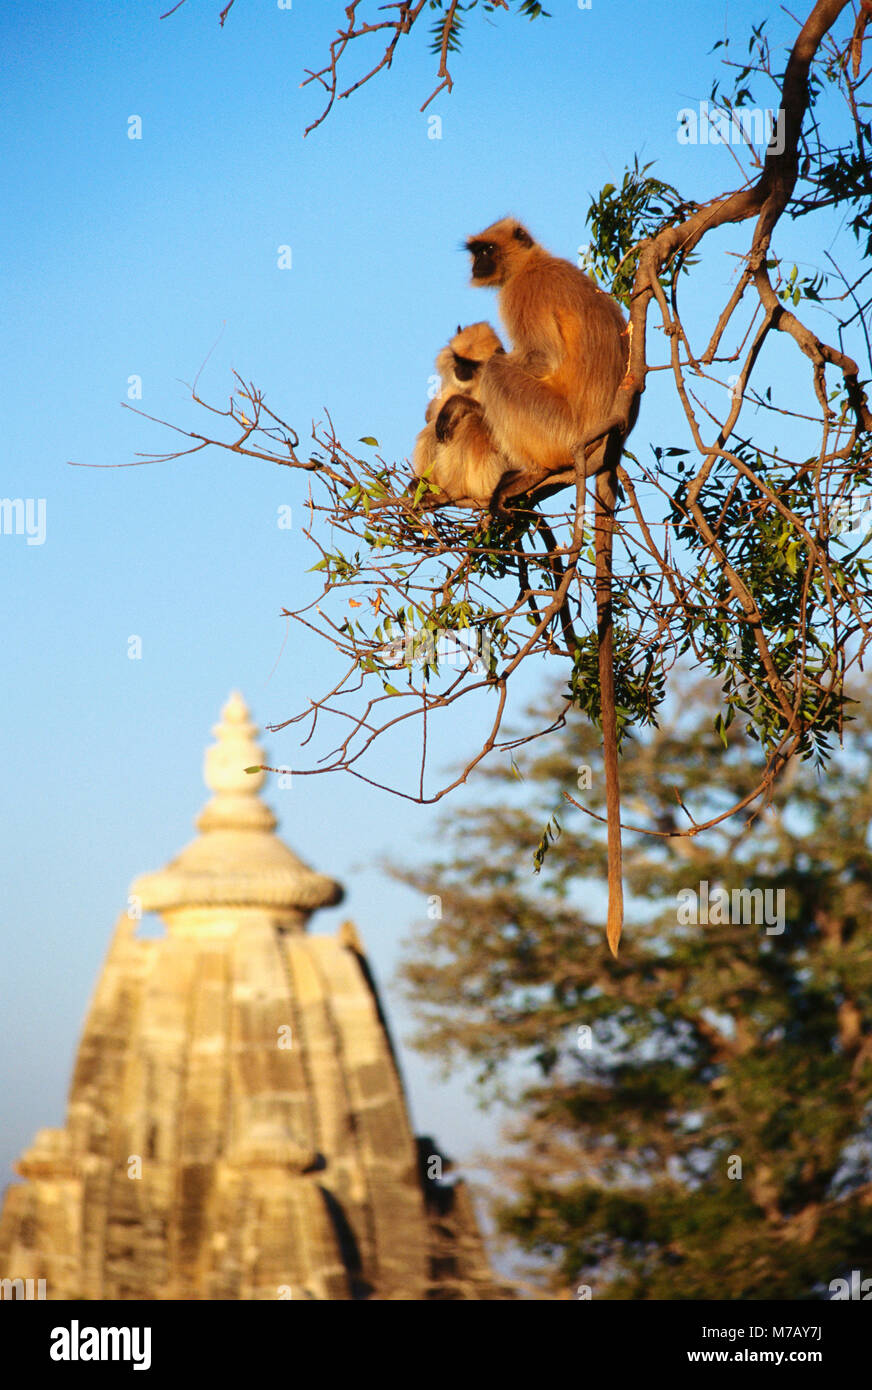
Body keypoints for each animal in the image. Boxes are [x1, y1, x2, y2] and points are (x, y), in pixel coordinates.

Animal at [412, 322, 510, 507]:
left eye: (471, 365)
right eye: (459, 360)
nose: (460, 370)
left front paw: (456, 403)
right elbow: (431, 416)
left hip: (491, 474)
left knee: (471, 421)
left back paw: (452, 492)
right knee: (434, 428)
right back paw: (425, 485)